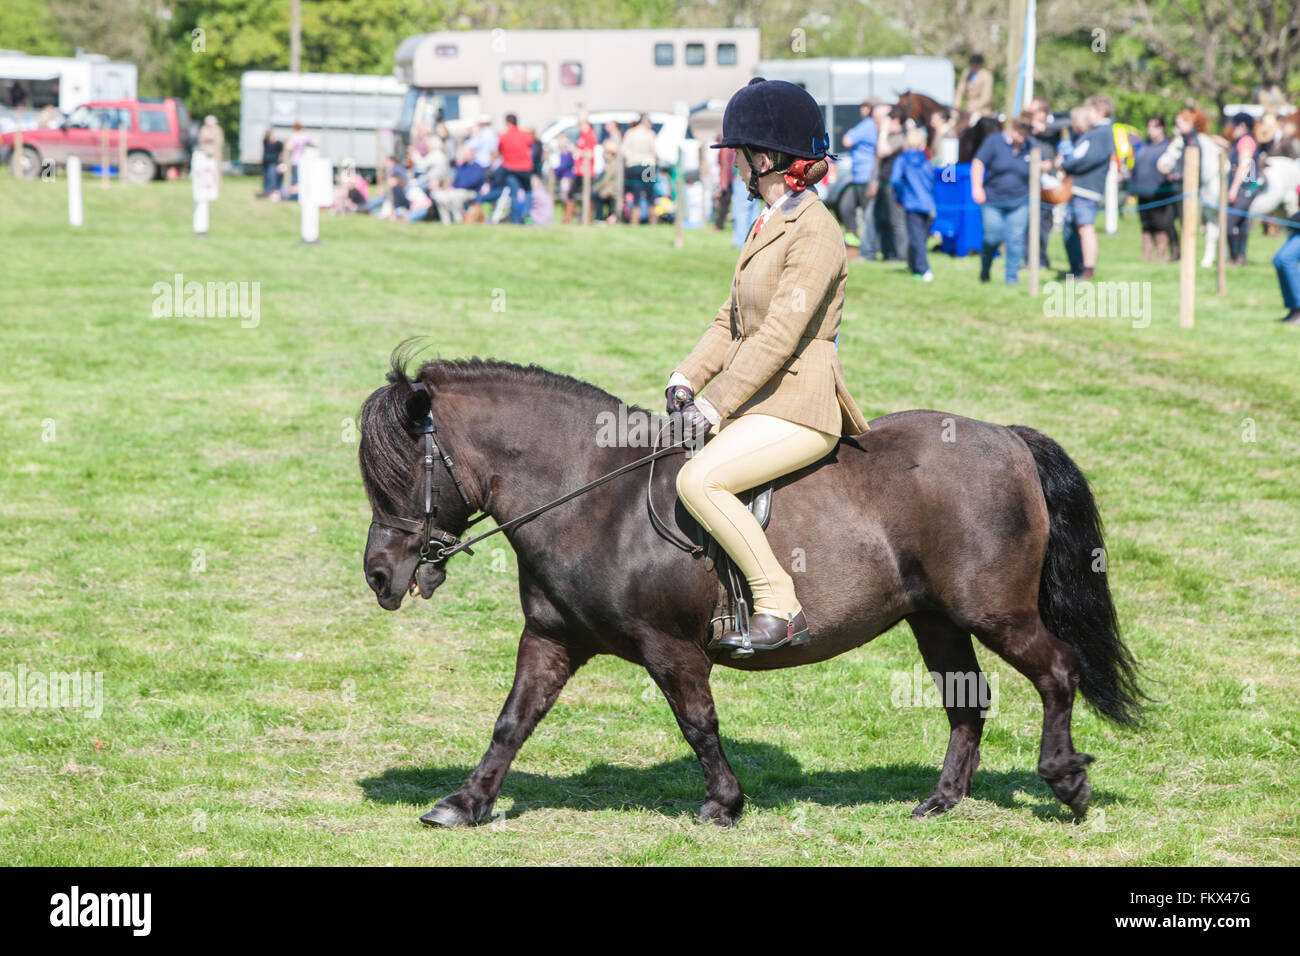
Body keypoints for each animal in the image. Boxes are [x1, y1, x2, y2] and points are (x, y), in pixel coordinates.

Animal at [359, 351, 1144, 828]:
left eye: (400, 474)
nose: (380, 576)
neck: (590, 498)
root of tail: (1006, 438)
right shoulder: (551, 639)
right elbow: (512, 721)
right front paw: (463, 803)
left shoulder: (671, 648)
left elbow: (698, 723)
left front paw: (724, 804)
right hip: (938, 619)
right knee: (967, 702)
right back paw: (941, 801)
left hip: (994, 610)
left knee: (1057, 671)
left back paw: (1067, 782)